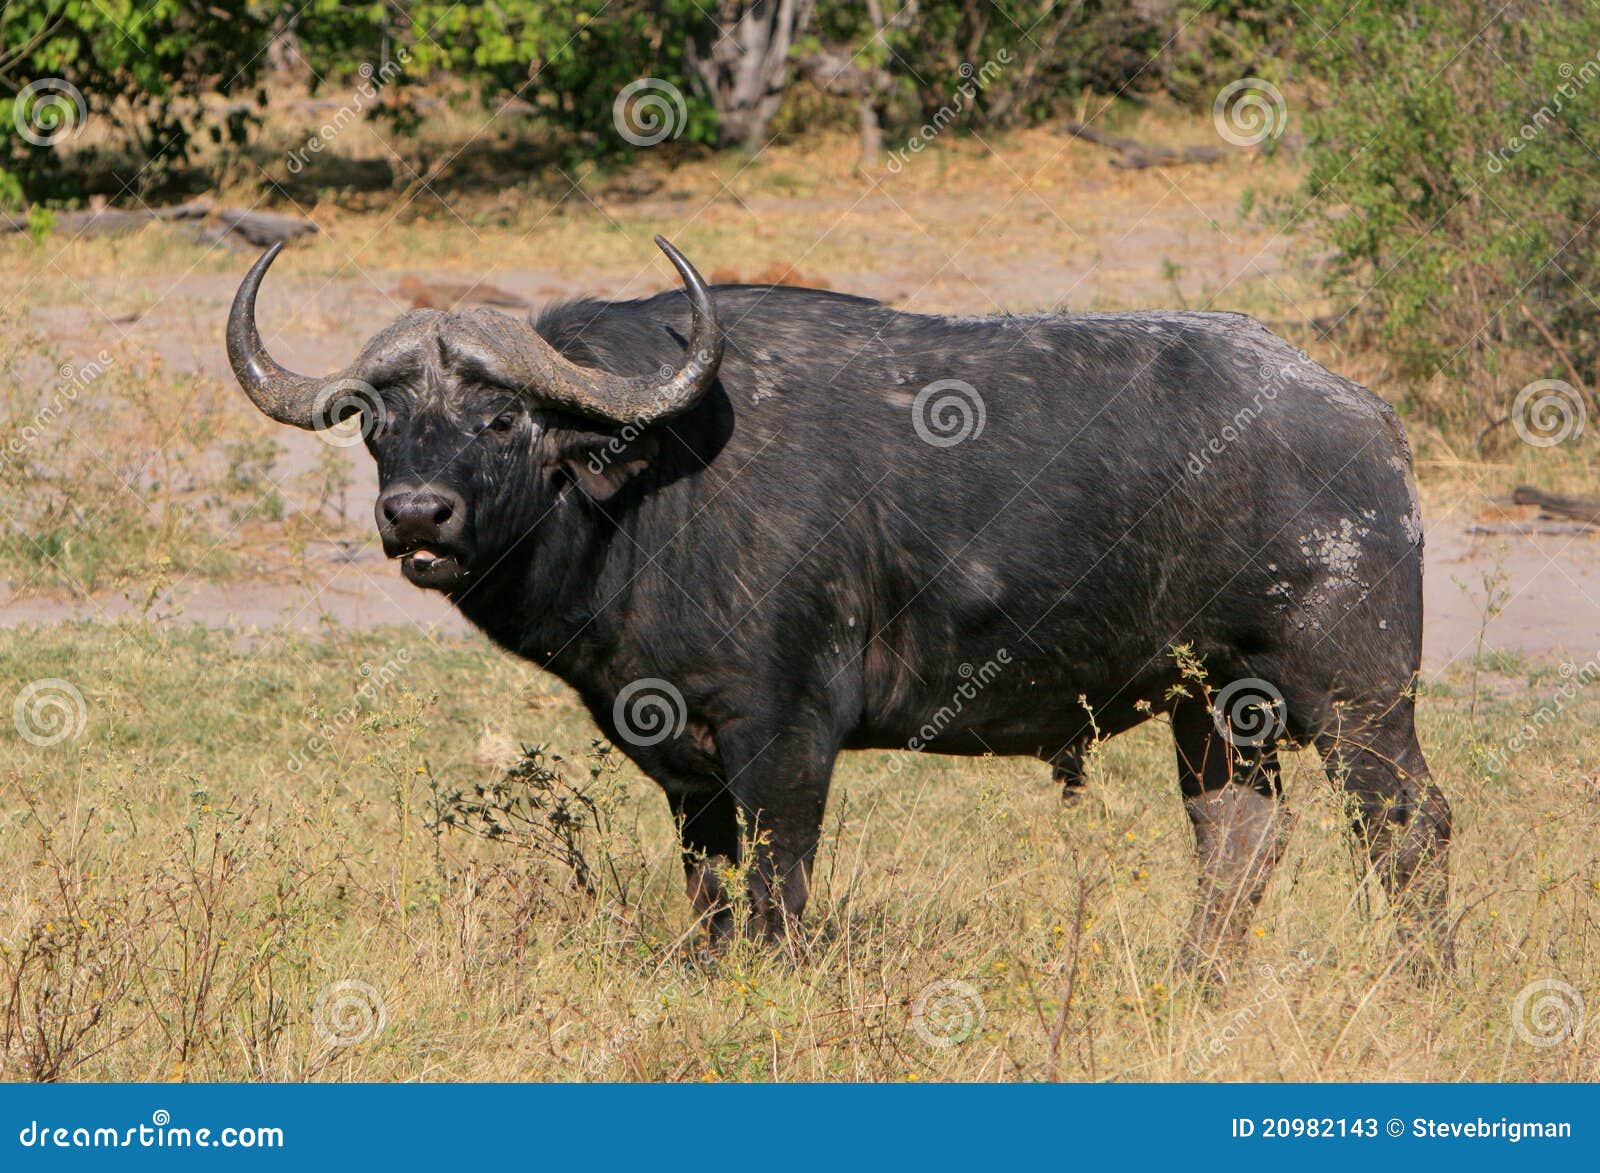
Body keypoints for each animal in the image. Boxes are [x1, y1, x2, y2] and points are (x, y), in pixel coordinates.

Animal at [226, 237, 1451, 981]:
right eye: (379, 423)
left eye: (500, 420)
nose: (415, 515)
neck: (654, 486)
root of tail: (1368, 422)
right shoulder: (685, 764)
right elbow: (712, 895)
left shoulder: (786, 735)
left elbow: (778, 890)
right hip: (1217, 708)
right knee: (1237, 834)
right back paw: (1198, 978)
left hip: (1354, 694)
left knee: (1407, 827)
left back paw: (1414, 977)